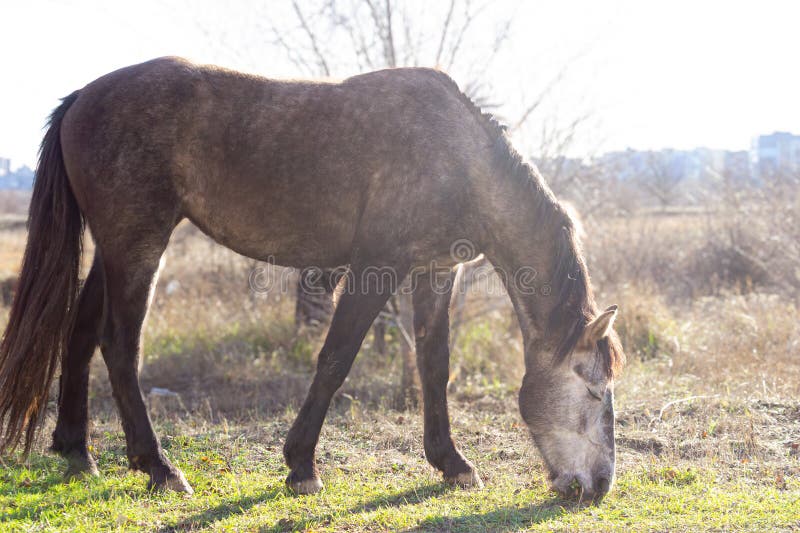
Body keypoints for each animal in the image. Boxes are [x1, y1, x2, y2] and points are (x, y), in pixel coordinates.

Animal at [0, 57, 624, 502]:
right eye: (595, 392)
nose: (598, 487)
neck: (460, 160)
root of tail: (82, 98)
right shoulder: (376, 268)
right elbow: (335, 359)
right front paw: (301, 465)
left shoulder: (434, 273)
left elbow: (433, 366)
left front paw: (452, 463)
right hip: (138, 246)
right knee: (119, 346)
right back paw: (159, 468)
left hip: (113, 249)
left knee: (81, 335)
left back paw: (78, 453)